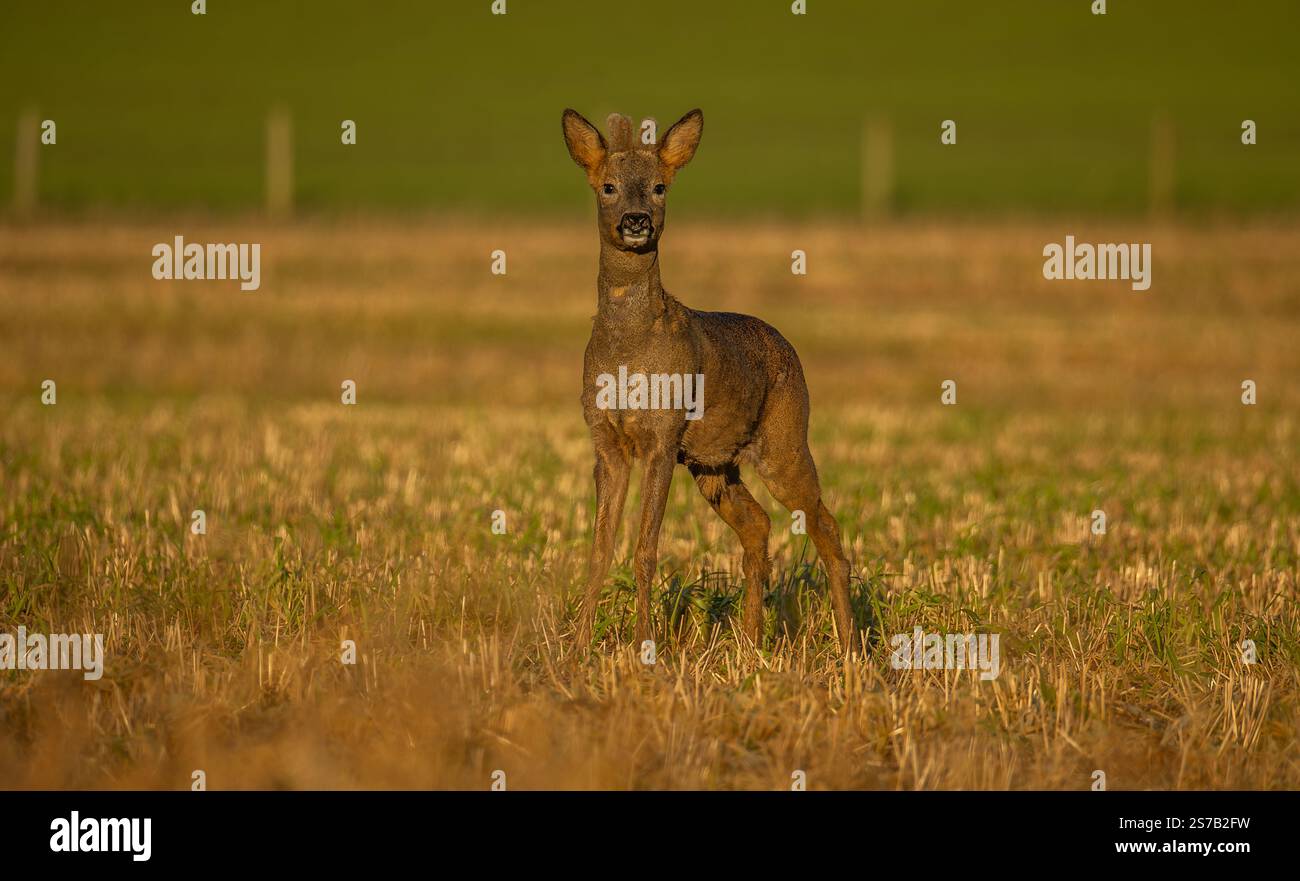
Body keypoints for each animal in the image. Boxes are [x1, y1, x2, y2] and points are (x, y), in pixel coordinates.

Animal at [563, 108, 857, 654]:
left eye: (659, 186)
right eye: (608, 186)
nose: (636, 221)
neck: (628, 349)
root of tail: (787, 343)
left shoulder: (663, 435)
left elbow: (645, 550)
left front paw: (643, 647)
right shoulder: (607, 442)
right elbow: (598, 551)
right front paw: (574, 648)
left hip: (785, 440)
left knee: (823, 523)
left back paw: (850, 647)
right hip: (713, 463)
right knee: (757, 524)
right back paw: (750, 643)